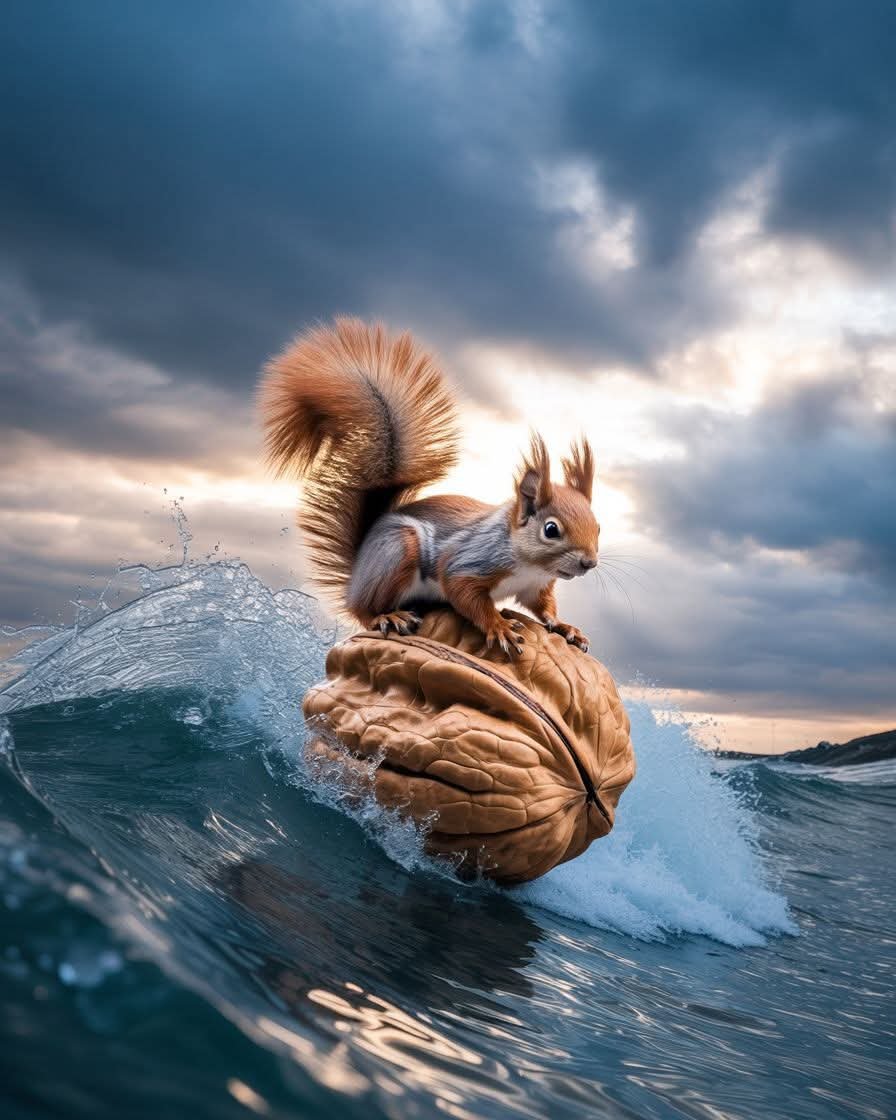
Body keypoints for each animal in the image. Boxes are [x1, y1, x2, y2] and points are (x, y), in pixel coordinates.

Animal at [259, 317, 599, 657]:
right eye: (551, 529)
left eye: (598, 528)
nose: (590, 563)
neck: (530, 565)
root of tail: (357, 575)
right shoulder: (470, 561)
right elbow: (466, 593)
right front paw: (499, 626)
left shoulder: (535, 587)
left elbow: (543, 608)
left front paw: (566, 627)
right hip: (396, 551)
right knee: (363, 610)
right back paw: (387, 616)